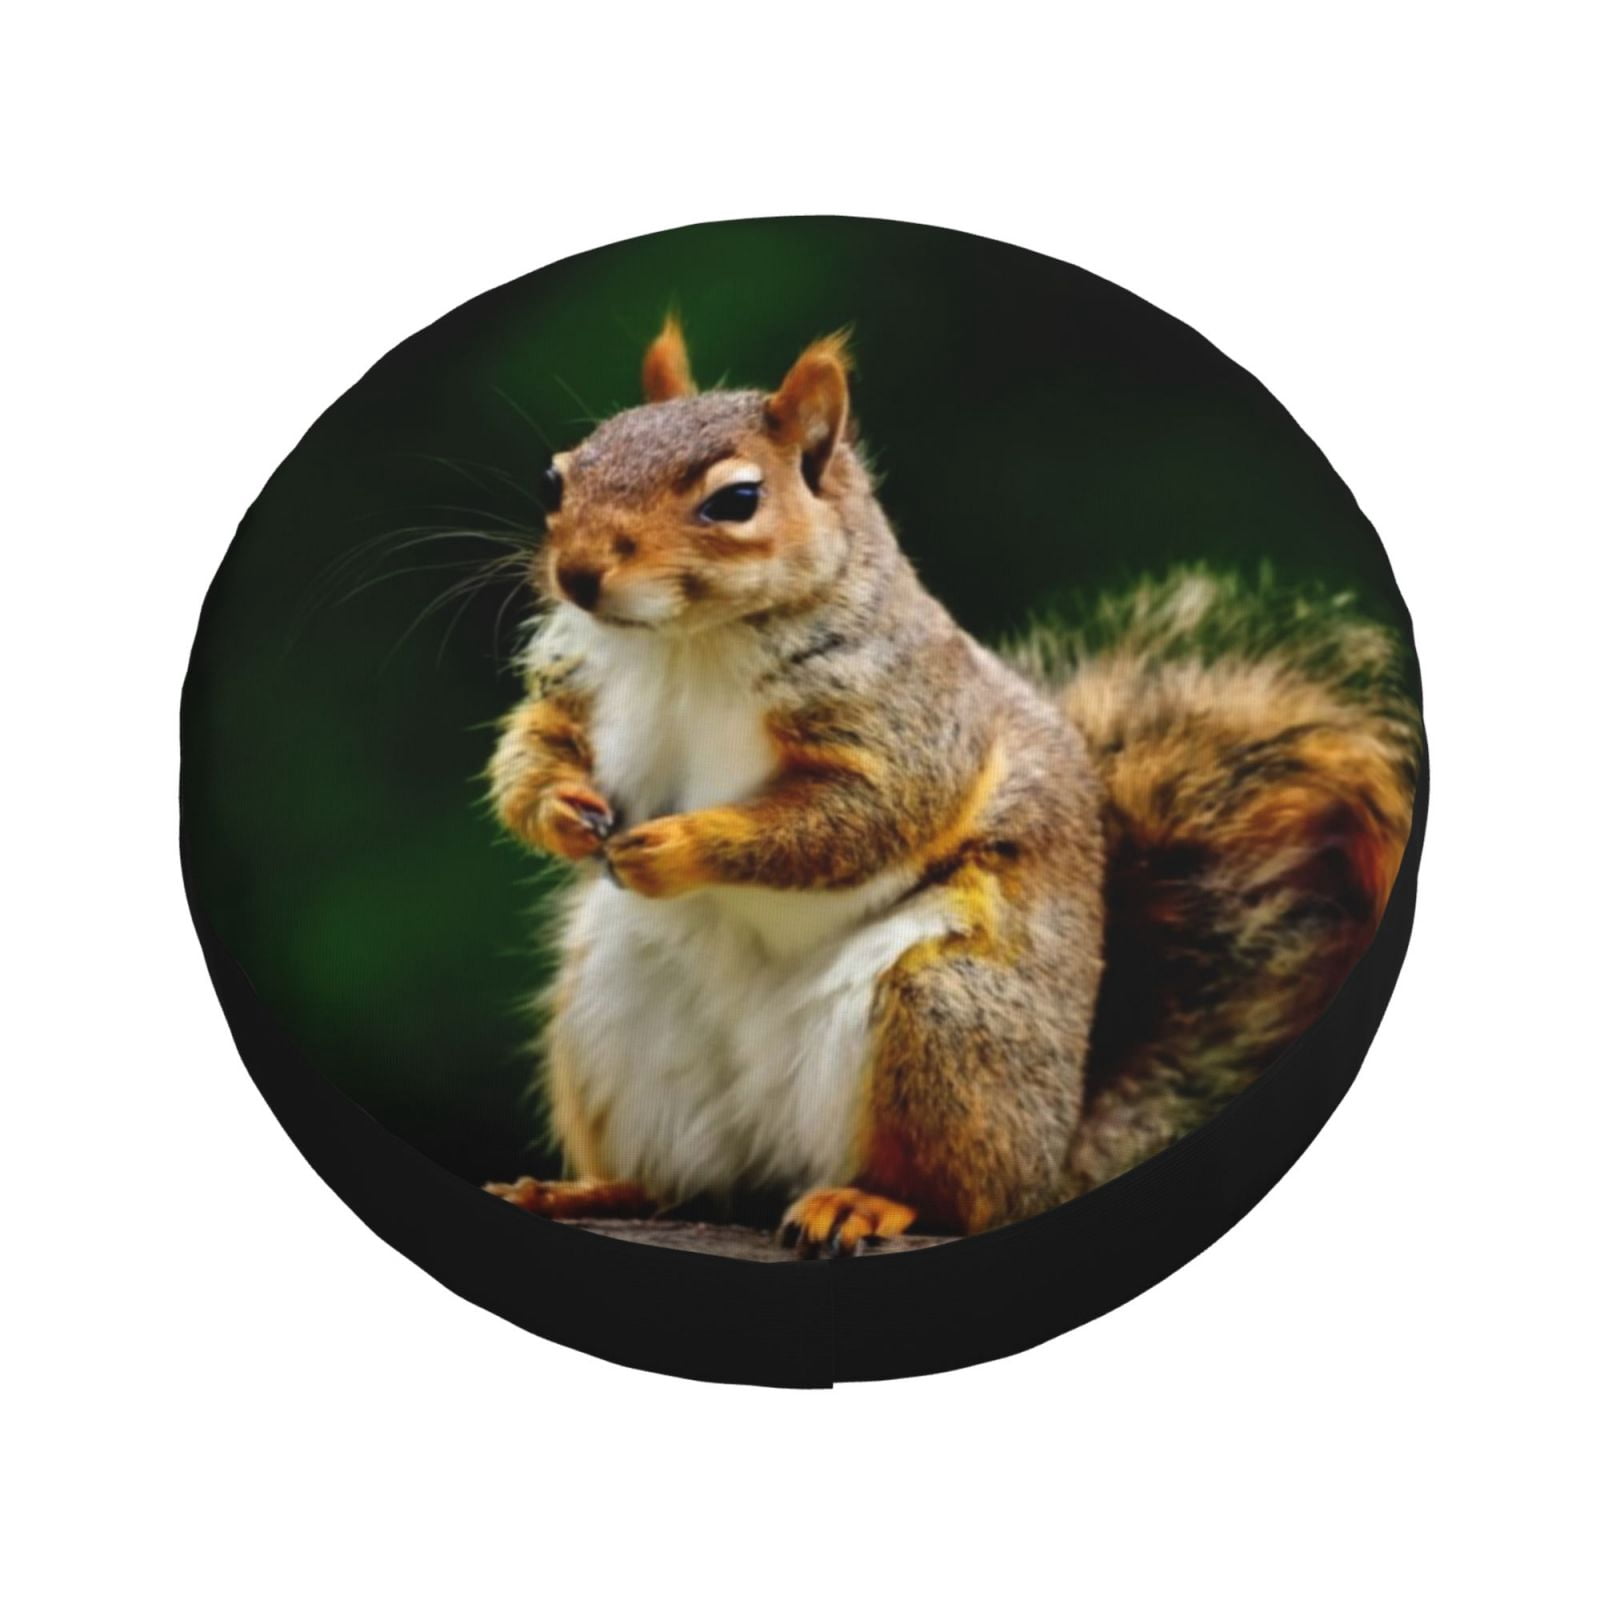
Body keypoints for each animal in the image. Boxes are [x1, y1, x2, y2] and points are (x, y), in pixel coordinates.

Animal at [483, 319, 1420, 1257]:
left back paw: (864, 1203)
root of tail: (1051, 1159)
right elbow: (532, 750)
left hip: (945, 1016)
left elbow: (859, 818)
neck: (688, 642)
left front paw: (680, 844)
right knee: (687, 1186)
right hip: (614, 1017)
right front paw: (560, 811)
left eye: (735, 501)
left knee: (953, 1195)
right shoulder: (578, 687)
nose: (579, 574)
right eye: (557, 476)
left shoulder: (911, 724)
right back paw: (587, 1189)